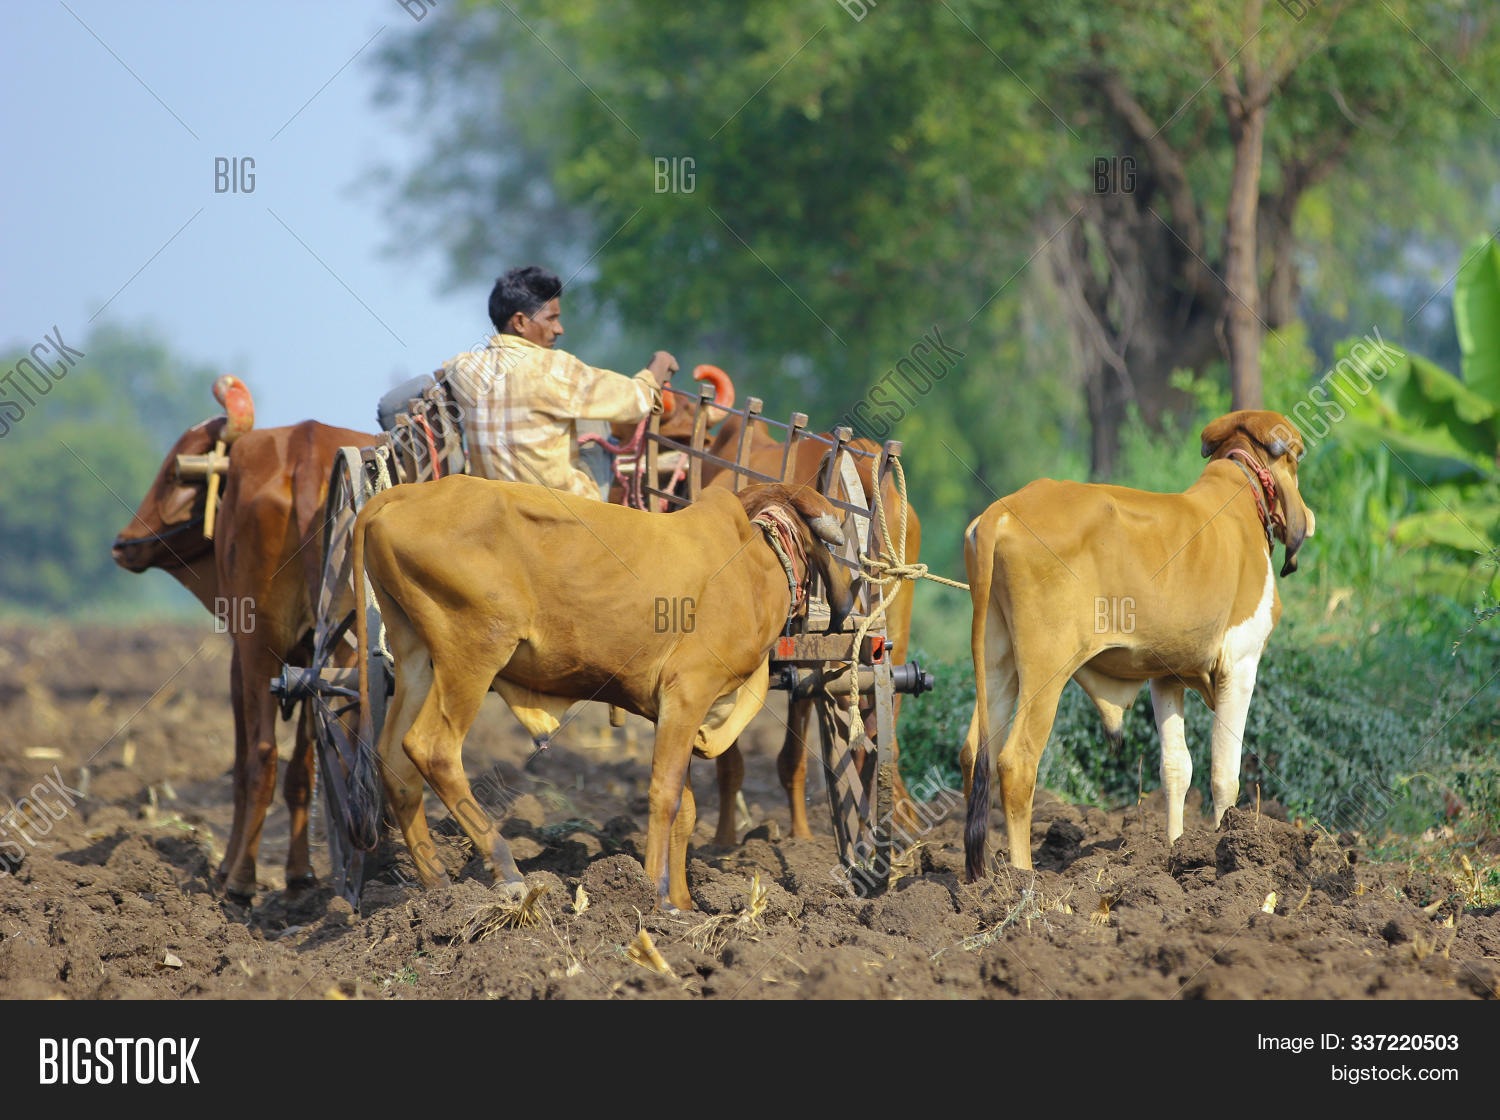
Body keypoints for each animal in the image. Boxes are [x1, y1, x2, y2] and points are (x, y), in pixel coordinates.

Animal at [113, 396, 374, 900]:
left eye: (173, 473)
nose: (122, 543)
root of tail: (306, 446)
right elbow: (304, 769)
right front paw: (298, 873)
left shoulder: (240, 663)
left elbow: (241, 764)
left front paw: (227, 869)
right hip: (341, 652)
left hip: (258, 650)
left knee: (262, 757)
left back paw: (240, 879)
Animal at [352, 475, 854, 912]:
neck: (755, 564)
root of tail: (398, 496)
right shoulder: (689, 691)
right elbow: (665, 796)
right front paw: (653, 894)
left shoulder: (676, 710)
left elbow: (688, 809)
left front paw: (684, 903)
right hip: (474, 653)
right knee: (432, 749)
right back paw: (507, 872)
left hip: (417, 657)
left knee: (395, 761)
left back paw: (437, 886)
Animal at [960, 410, 1315, 880]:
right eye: (1295, 461)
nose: (1308, 517)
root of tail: (1000, 513)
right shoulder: (1240, 664)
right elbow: (1225, 772)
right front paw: (1230, 849)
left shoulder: (1165, 676)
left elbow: (1176, 768)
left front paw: (1178, 850)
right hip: (1046, 669)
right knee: (1016, 762)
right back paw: (1023, 877)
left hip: (997, 660)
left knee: (973, 754)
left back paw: (977, 880)